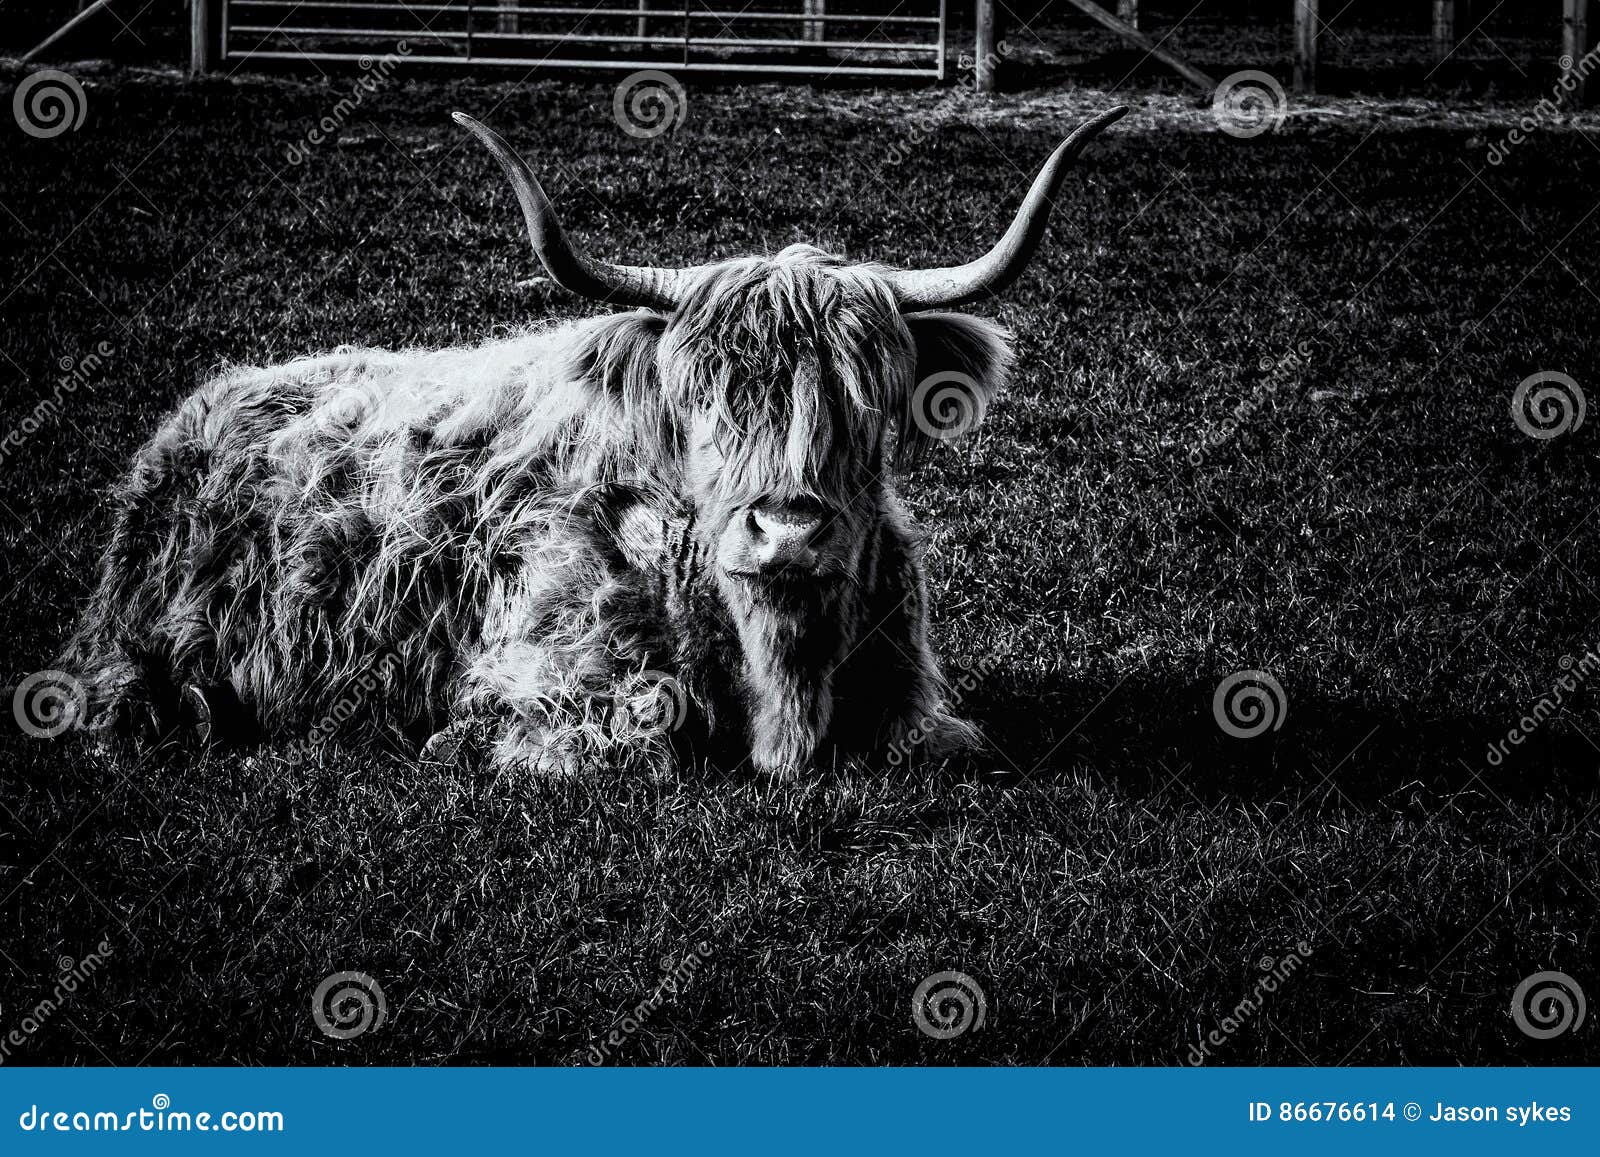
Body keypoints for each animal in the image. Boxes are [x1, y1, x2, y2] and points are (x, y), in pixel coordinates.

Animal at [49, 106, 1126, 779]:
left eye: (864, 401)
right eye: (703, 400)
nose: (784, 530)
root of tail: (201, 402)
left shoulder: (918, 701)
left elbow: (947, 742)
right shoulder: (553, 664)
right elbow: (637, 731)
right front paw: (457, 740)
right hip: (131, 640)